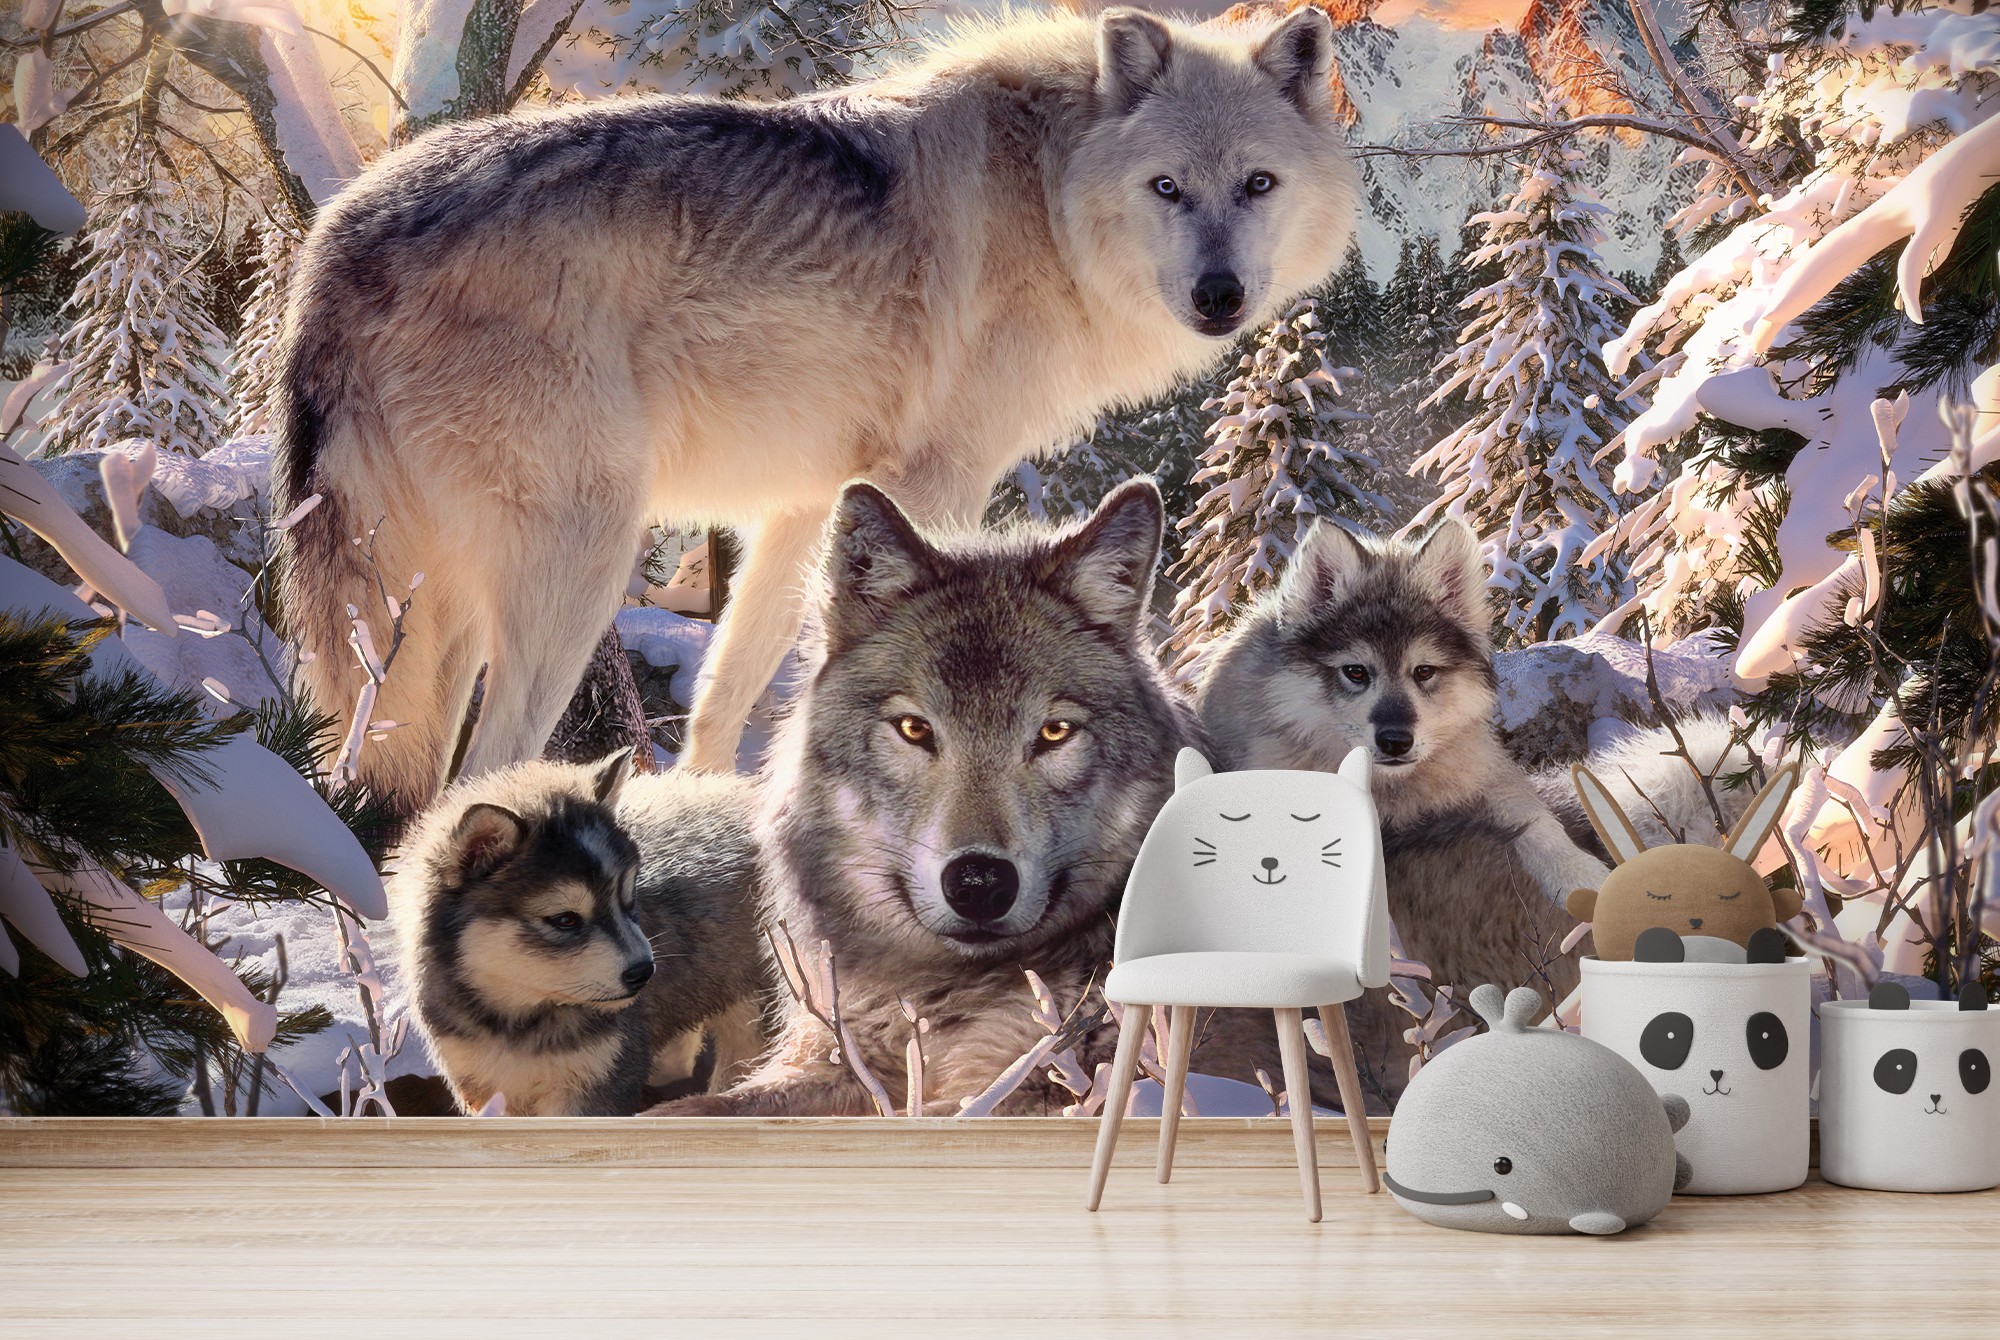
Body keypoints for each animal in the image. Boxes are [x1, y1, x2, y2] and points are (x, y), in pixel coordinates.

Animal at [272, 5, 1362, 812]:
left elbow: (723, 696)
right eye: (1167, 187)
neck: (1050, 195)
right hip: (580, 559)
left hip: (435, 613)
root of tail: (338, 239)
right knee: (483, 770)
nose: (1219, 296)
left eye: (1256, 184)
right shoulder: (936, 482)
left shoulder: (805, 503)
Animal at [391, 749, 768, 1115]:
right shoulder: (484, 1086)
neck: (521, 1020)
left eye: (628, 899)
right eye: (565, 920)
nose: (644, 972)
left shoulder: (596, 1084)